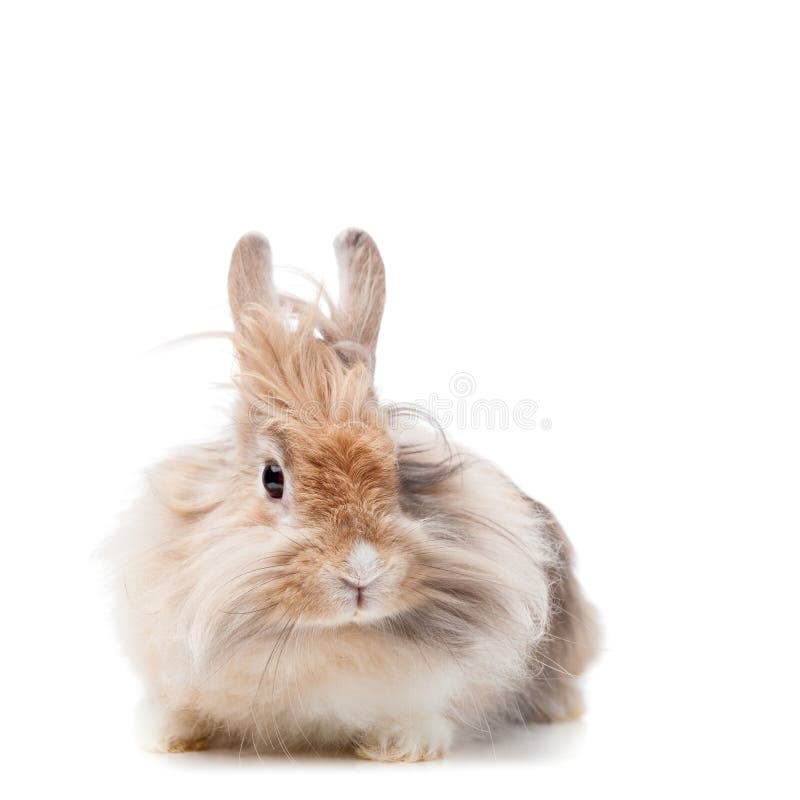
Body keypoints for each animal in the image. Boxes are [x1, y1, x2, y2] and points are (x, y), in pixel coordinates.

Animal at [105, 228, 598, 762]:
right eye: (273, 477)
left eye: (397, 469)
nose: (361, 570)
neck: (321, 637)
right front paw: (165, 736)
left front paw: (403, 746)